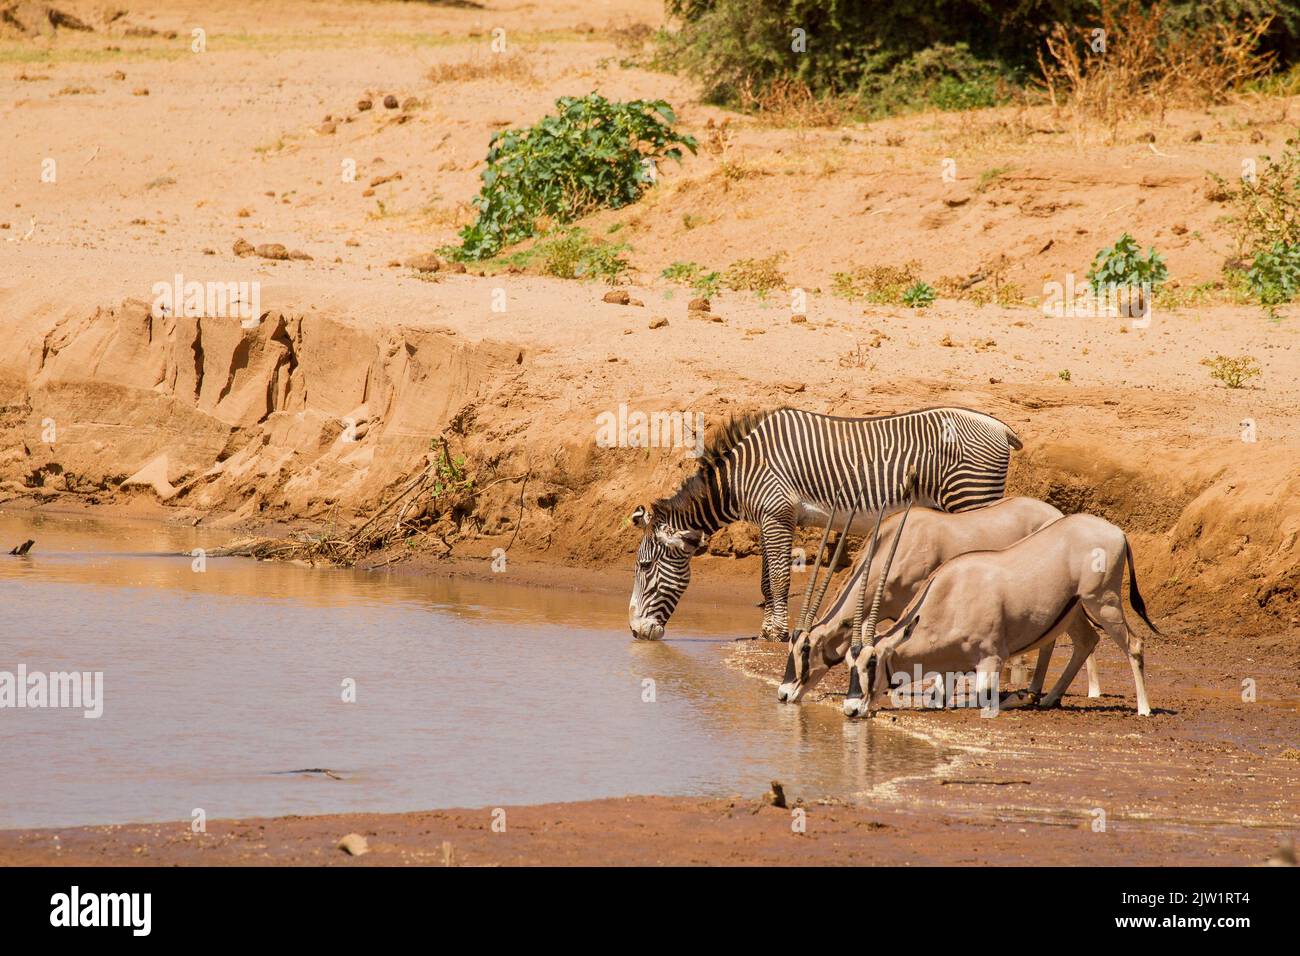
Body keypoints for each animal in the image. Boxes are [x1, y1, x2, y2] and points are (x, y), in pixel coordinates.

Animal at [628, 405, 1023, 641]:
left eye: (644, 566)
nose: (634, 631)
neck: (738, 478)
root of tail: (1001, 427)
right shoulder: (770, 520)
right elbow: (767, 580)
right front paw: (768, 629)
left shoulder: (777, 515)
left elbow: (781, 579)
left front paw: (778, 633)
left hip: (972, 496)